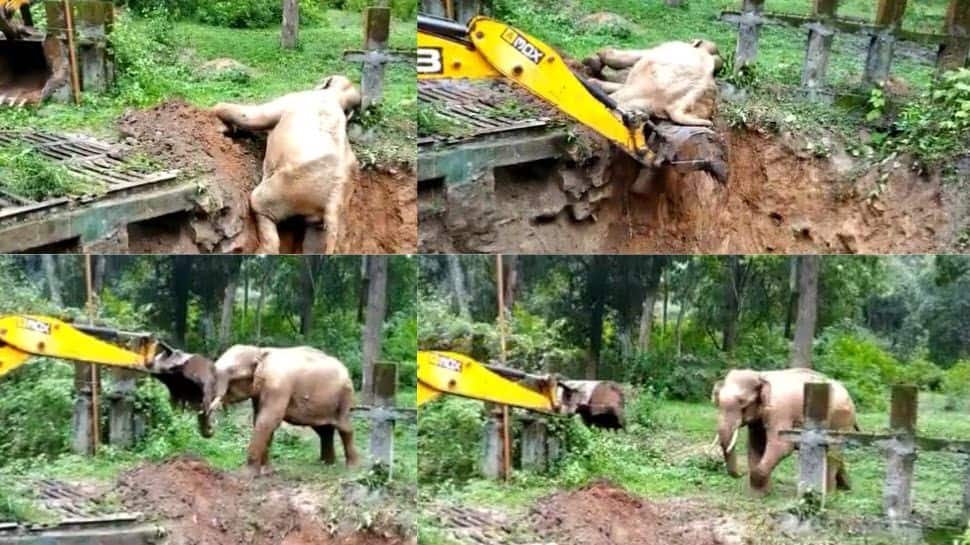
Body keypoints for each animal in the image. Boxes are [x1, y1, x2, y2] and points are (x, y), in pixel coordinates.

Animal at [200, 344, 360, 475]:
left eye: (231, 371)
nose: (212, 427)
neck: (260, 351)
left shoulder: (278, 385)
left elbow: (267, 421)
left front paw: (246, 475)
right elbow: (260, 420)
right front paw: (266, 472)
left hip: (344, 396)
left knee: (344, 428)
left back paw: (352, 468)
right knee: (324, 430)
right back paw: (326, 464)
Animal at [212, 75, 361, 254]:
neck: (336, 97)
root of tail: (333, 201)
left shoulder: (293, 99)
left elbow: (254, 116)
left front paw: (217, 119)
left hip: (292, 187)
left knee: (258, 202)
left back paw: (261, 252)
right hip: (320, 213)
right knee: (314, 242)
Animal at [712, 368, 857, 494]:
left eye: (742, 402)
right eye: (717, 401)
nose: (742, 473)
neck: (760, 375)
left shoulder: (779, 410)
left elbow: (781, 446)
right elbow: (756, 445)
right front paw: (760, 494)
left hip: (840, 418)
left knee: (833, 452)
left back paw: (828, 493)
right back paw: (845, 488)